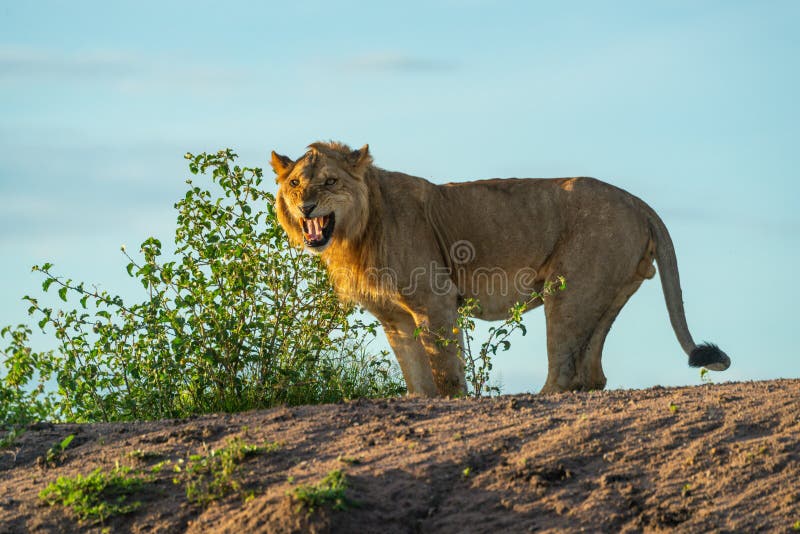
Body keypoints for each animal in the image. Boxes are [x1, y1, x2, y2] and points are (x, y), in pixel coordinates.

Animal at [270, 141, 730, 397]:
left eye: (330, 182)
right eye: (295, 183)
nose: (306, 206)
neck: (356, 232)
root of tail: (638, 202)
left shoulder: (435, 301)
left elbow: (444, 368)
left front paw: (451, 401)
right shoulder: (394, 316)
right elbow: (415, 372)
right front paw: (419, 401)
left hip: (569, 290)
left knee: (565, 366)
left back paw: (539, 396)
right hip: (607, 292)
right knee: (592, 373)